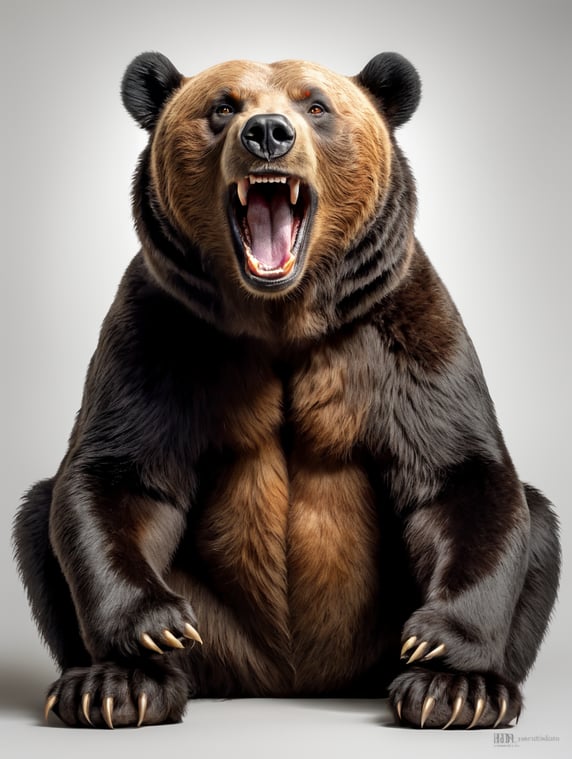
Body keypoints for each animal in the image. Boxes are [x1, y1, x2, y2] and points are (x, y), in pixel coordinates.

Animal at [13, 50, 560, 731]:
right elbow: (118, 478)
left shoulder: (400, 337)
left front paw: (448, 671)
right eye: (222, 105)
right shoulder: (161, 337)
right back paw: (118, 686)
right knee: (37, 516)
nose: (268, 133)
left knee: (539, 524)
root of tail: (288, 679)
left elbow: (460, 478)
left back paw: (466, 690)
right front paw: (148, 633)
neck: (281, 318)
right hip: (220, 632)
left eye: (316, 105)